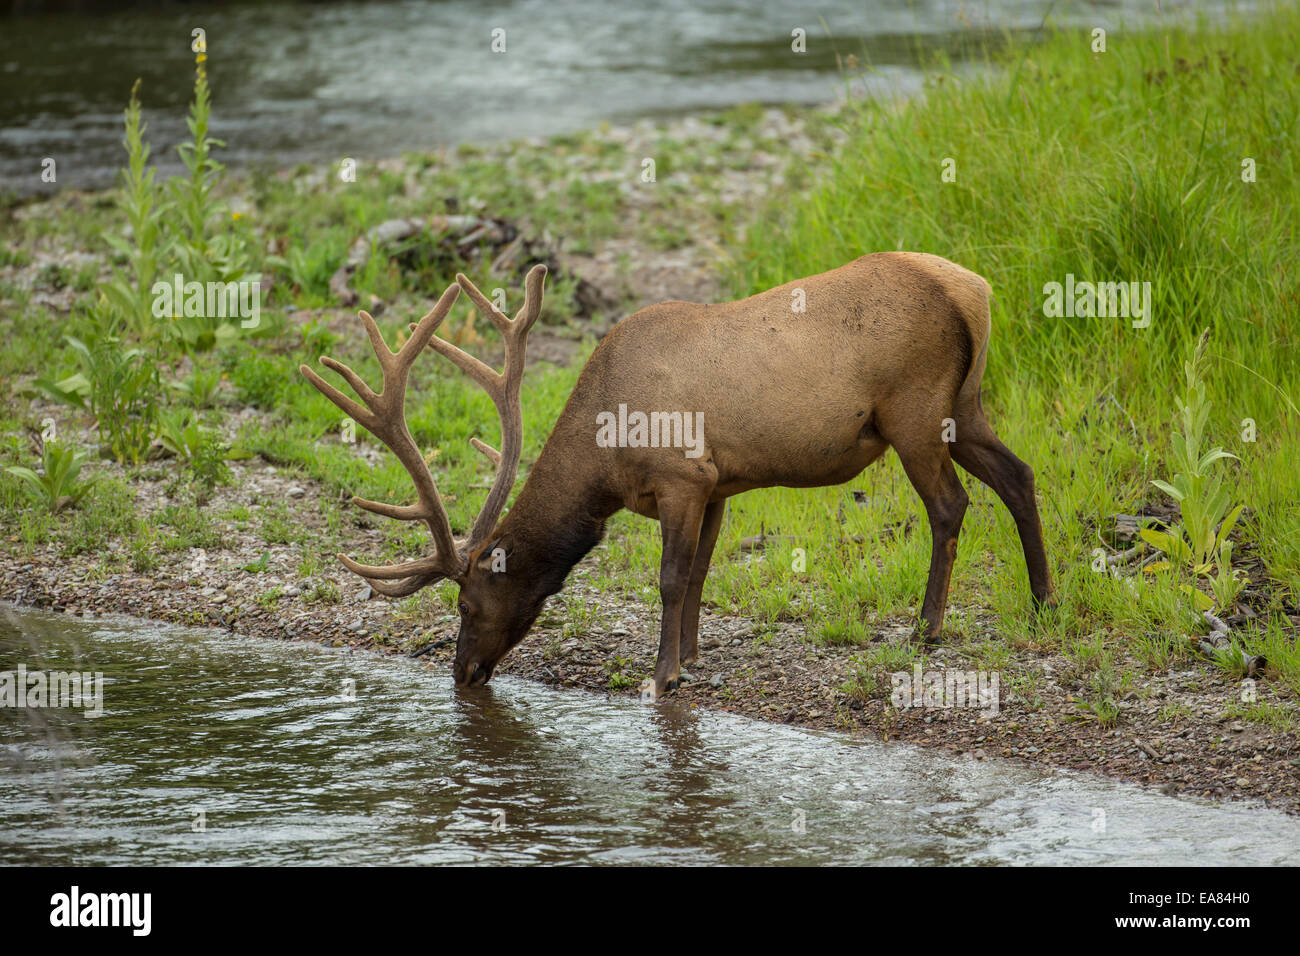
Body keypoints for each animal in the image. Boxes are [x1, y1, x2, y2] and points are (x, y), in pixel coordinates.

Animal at [301, 253, 1054, 699]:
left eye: (466, 604)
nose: (462, 675)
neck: (605, 455)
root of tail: (976, 291)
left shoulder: (680, 475)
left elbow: (668, 577)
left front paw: (661, 673)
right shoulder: (717, 481)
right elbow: (698, 573)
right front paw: (691, 656)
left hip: (914, 409)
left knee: (951, 505)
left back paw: (926, 628)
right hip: (963, 406)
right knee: (1020, 475)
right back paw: (1044, 600)